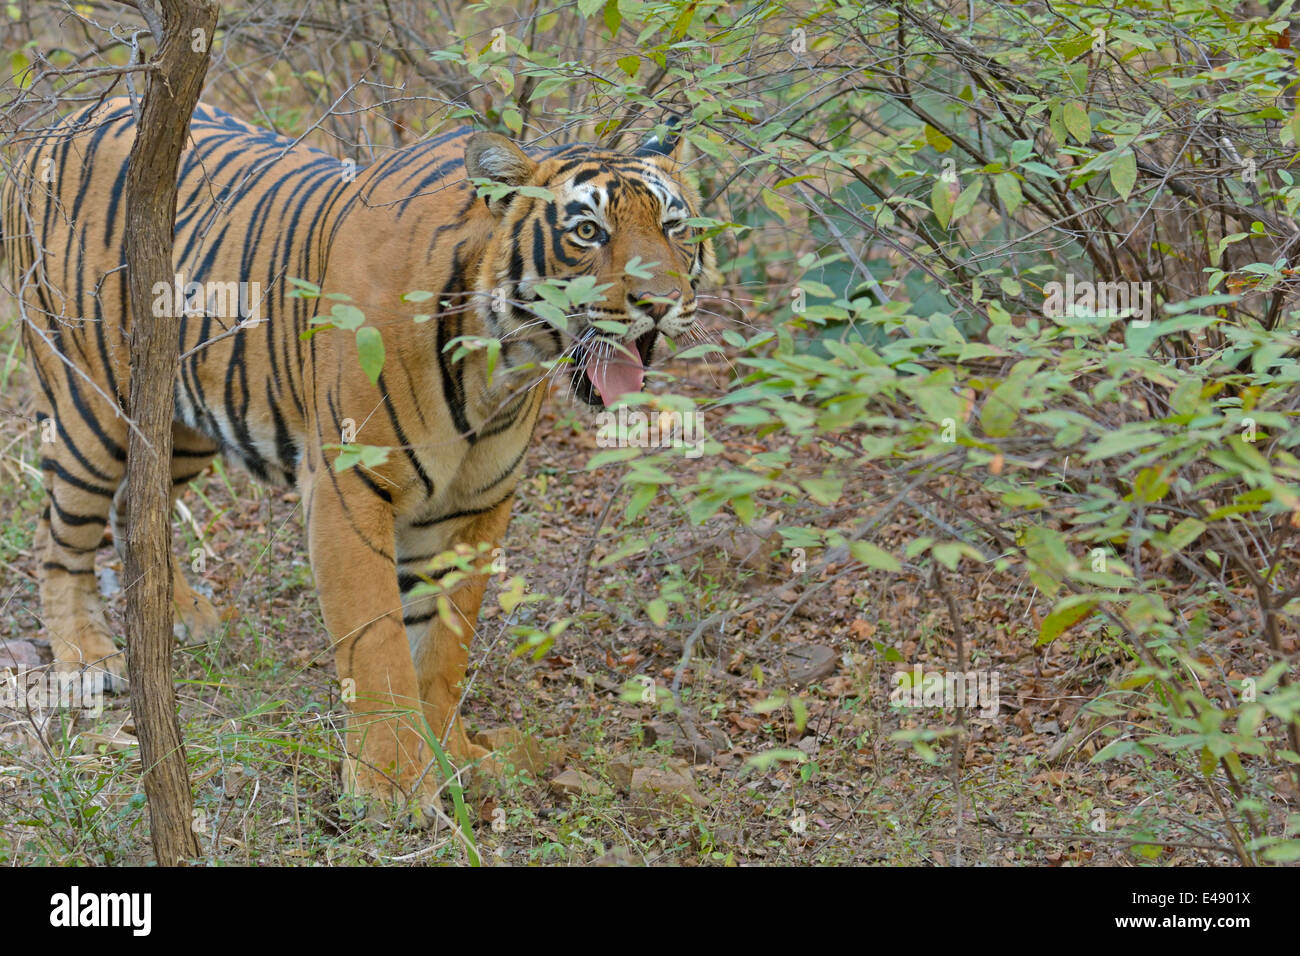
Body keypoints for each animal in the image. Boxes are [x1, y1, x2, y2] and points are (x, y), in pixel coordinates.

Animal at [1, 97, 715, 814]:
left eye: (674, 227)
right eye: (588, 231)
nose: (660, 304)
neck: (497, 365)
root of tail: (67, 120)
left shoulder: (475, 506)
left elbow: (442, 648)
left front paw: (452, 758)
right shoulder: (350, 488)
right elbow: (377, 642)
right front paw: (390, 784)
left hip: (180, 424)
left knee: (137, 510)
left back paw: (179, 616)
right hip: (92, 403)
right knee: (59, 534)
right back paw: (87, 660)